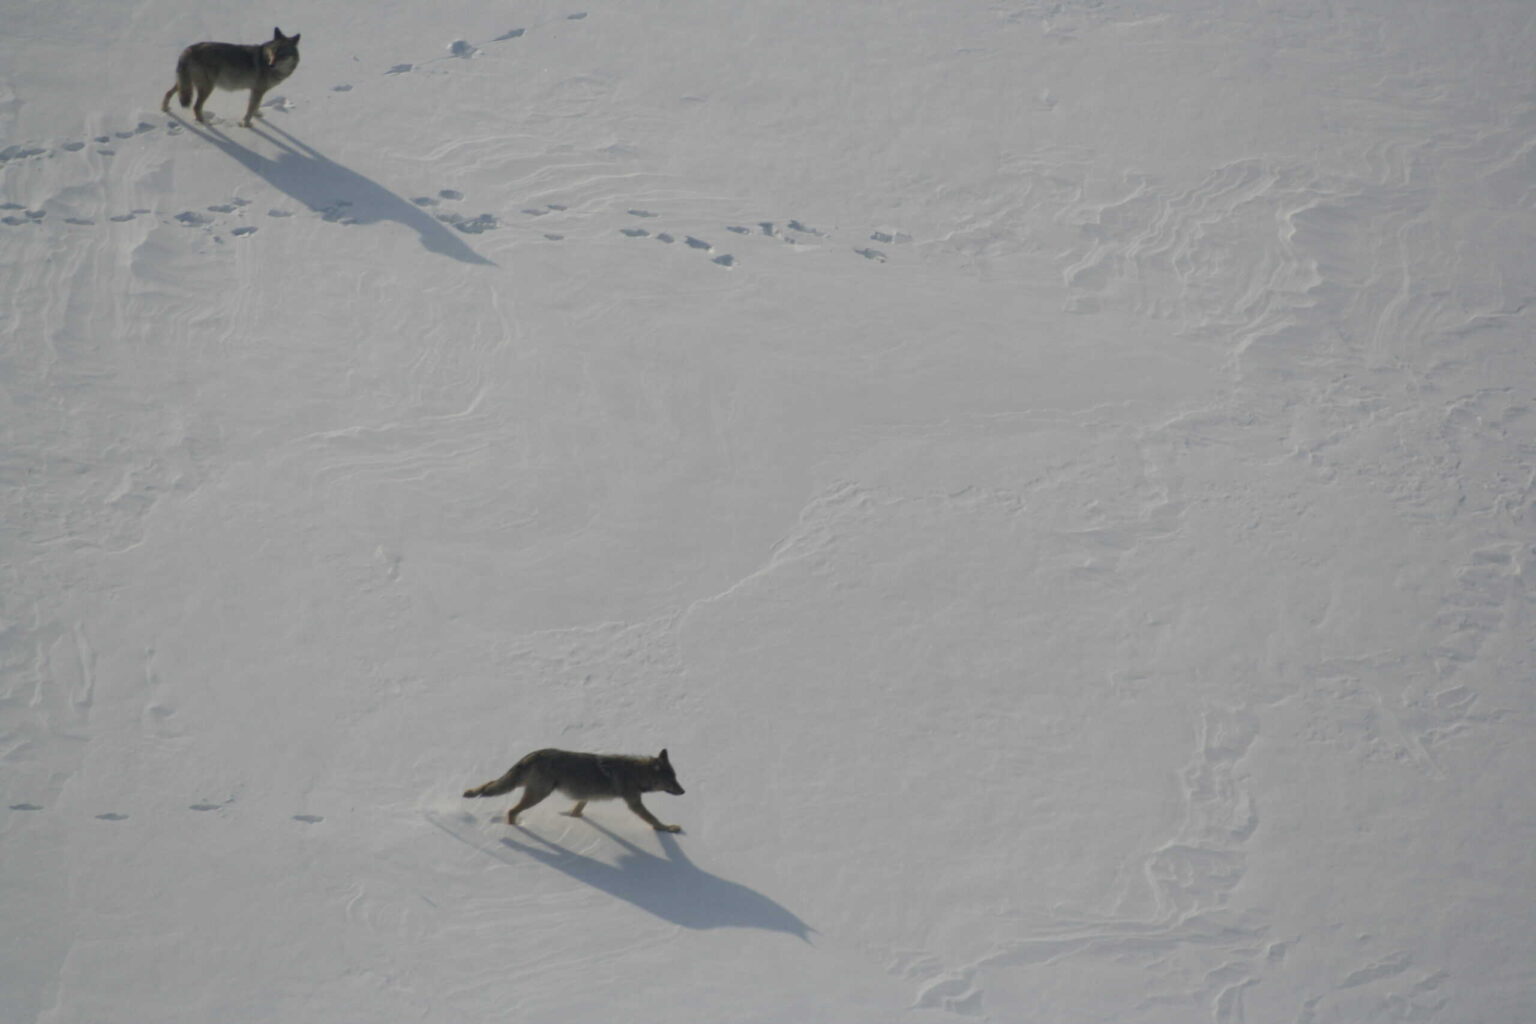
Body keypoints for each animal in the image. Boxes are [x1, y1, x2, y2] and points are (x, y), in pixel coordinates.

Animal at [160, 27, 301, 127]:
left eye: (282, 55)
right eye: (272, 52)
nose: (270, 65)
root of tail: (187, 50)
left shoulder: (256, 91)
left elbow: (255, 107)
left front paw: (257, 115)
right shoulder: (258, 91)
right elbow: (250, 110)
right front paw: (246, 125)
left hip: (185, 85)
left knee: (168, 92)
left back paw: (165, 109)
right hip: (206, 88)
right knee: (196, 107)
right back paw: (205, 123)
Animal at [464, 748, 686, 832]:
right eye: (672, 781)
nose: (684, 792)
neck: (636, 773)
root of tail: (533, 754)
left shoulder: (586, 796)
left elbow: (578, 808)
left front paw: (573, 817)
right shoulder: (634, 803)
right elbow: (654, 819)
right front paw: (668, 828)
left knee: (488, 785)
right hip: (538, 795)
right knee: (511, 810)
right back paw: (515, 828)